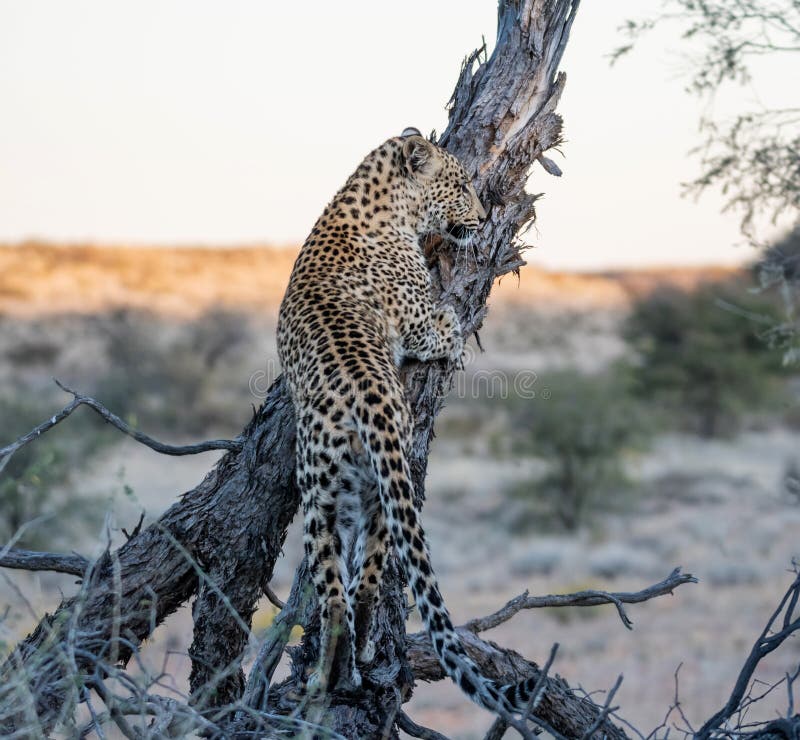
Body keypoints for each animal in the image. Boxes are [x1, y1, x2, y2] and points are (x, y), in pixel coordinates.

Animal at [277, 128, 540, 717]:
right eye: (461, 185)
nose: (483, 215)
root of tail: (369, 394)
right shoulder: (419, 325)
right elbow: (447, 325)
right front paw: (458, 335)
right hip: (344, 491)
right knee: (352, 587)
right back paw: (338, 674)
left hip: (343, 495)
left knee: (348, 589)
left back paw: (337, 675)